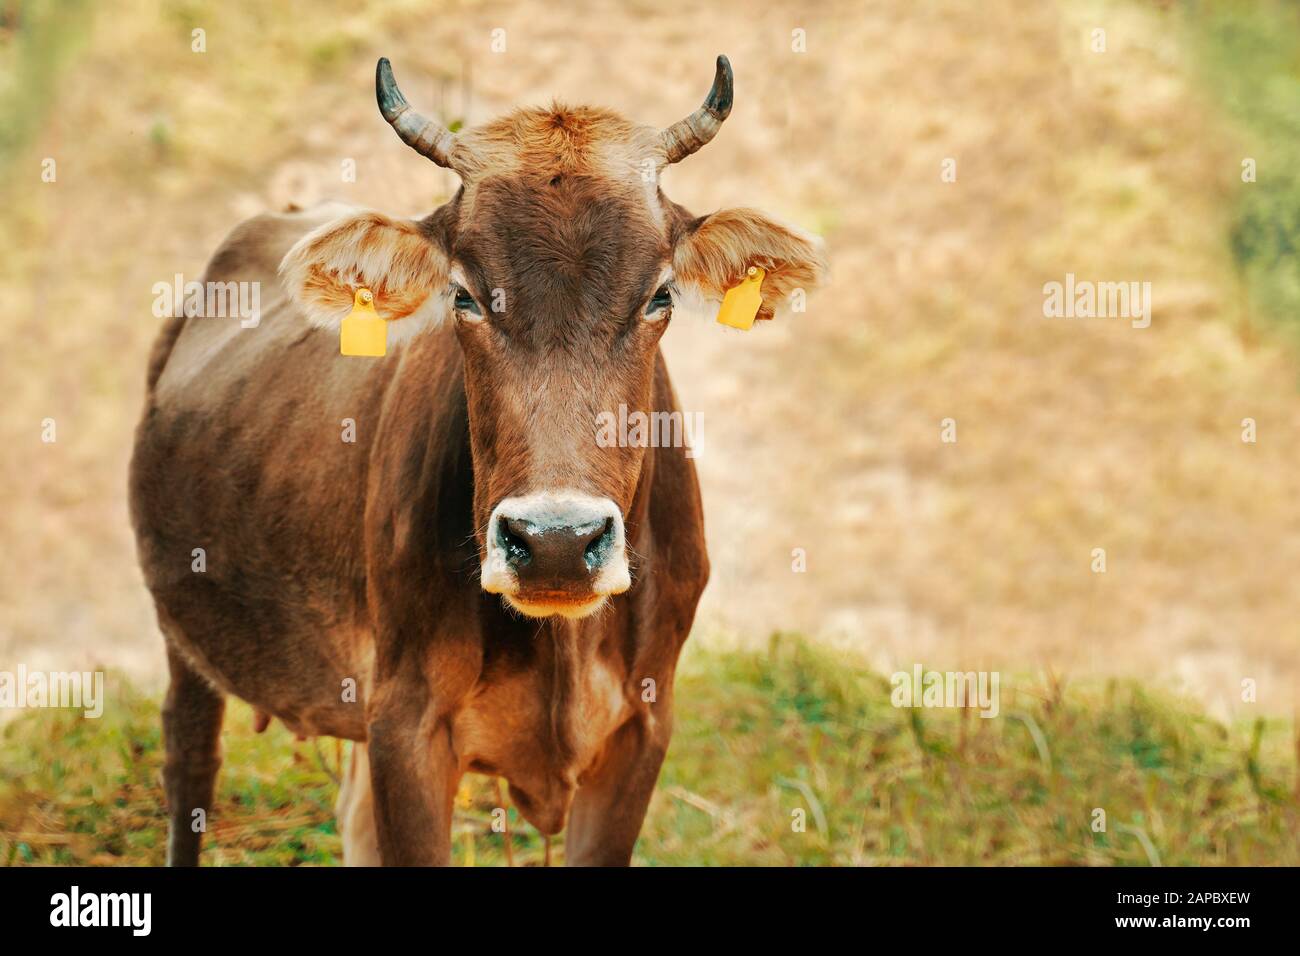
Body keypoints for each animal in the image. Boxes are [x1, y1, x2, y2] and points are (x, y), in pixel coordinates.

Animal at [128, 54, 826, 866]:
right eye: (463, 295)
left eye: (660, 295)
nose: (557, 544)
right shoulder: (407, 727)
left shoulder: (643, 725)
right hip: (182, 632)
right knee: (190, 764)